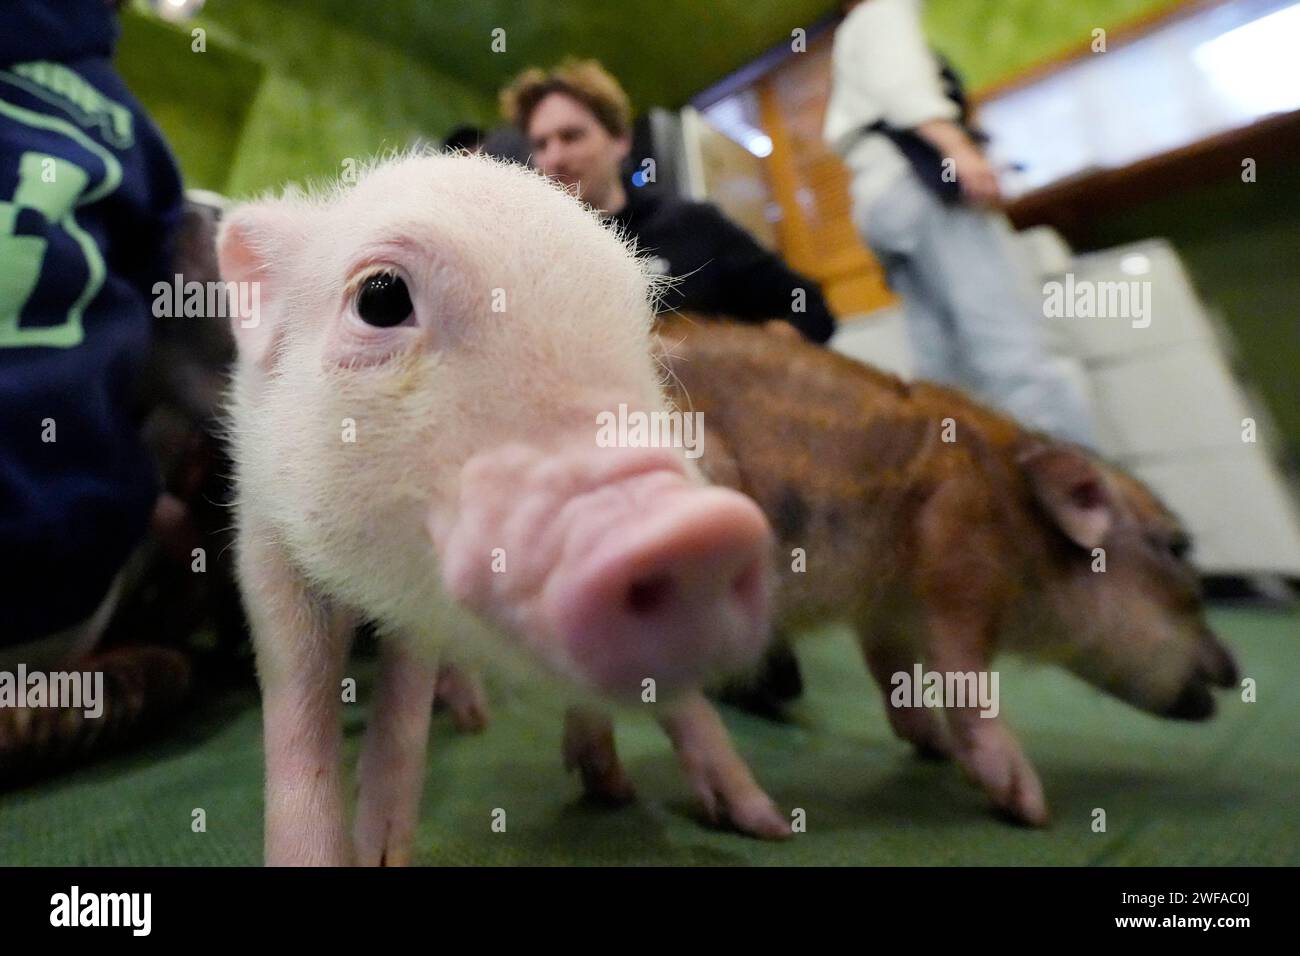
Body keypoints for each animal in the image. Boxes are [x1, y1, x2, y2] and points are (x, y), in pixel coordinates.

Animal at [218, 153, 790, 866]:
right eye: (380, 298)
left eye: (638, 334)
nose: (697, 537)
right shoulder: (262, 534)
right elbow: (298, 698)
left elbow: (405, 697)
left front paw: (383, 853)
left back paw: (736, 817)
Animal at [561, 315, 1240, 827]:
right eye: (1176, 547)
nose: (1235, 669)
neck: (1016, 525)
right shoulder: (958, 577)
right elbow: (965, 682)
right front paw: (1030, 810)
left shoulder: (885, 611)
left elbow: (895, 677)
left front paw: (934, 749)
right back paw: (766, 822)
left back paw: (611, 789)